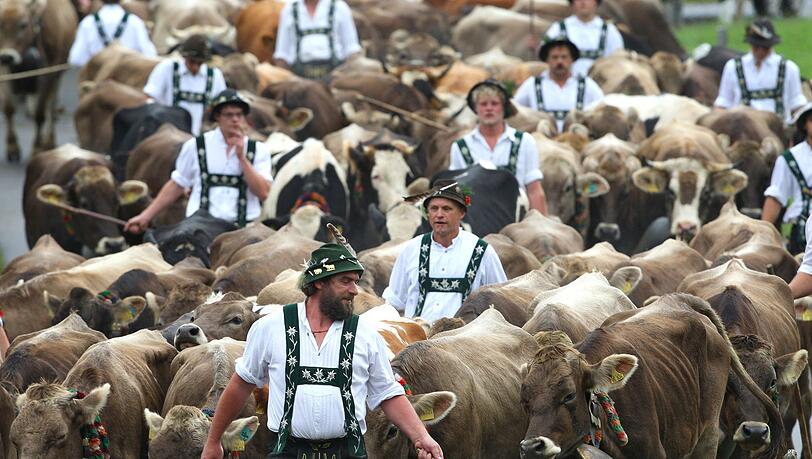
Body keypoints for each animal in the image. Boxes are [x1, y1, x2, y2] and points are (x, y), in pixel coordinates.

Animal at [0, 0, 77, 161]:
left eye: (23, 24)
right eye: (0, 24)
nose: (7, 56)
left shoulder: (49, 71)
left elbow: (40, 113)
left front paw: (36, 149)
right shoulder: (4, 70)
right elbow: (9, 109)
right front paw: (12, 146)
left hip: (59, 71)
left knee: (51, 104)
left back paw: (49, 142)